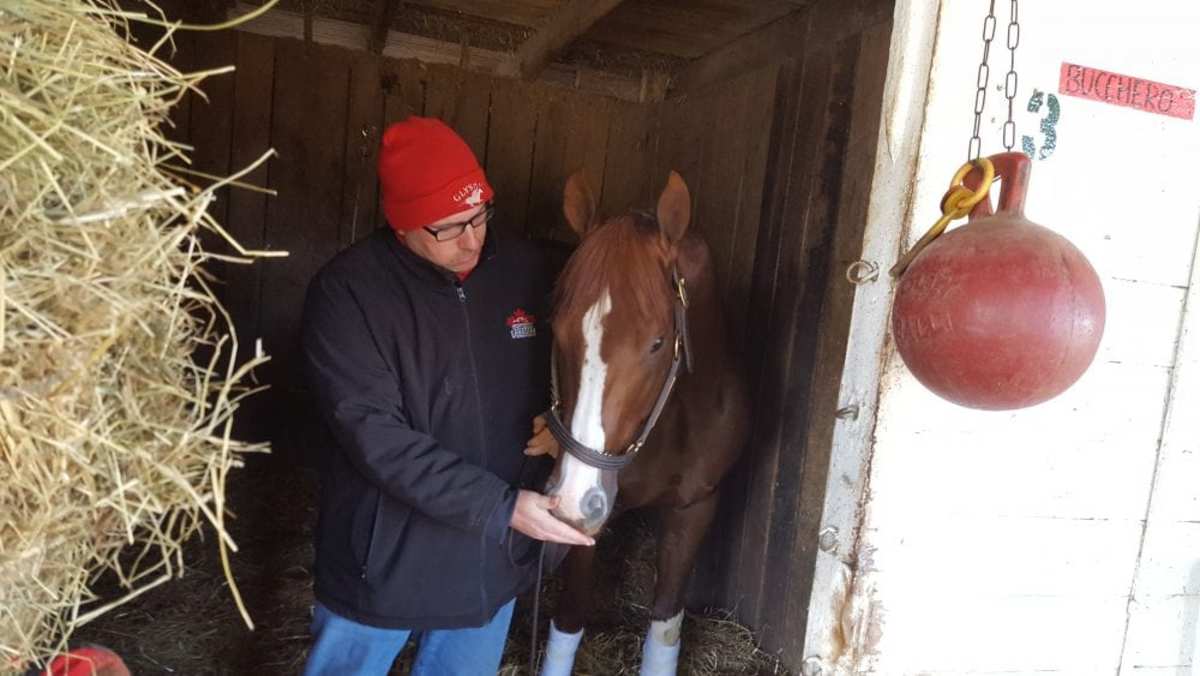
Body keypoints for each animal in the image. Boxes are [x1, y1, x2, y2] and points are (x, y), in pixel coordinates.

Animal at [535, 170, 750, 676]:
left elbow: (665, 627)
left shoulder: (695, 507)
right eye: (556, 328)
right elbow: (569, 620)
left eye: (657, 342)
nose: (572, 495)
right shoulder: (585, 520)